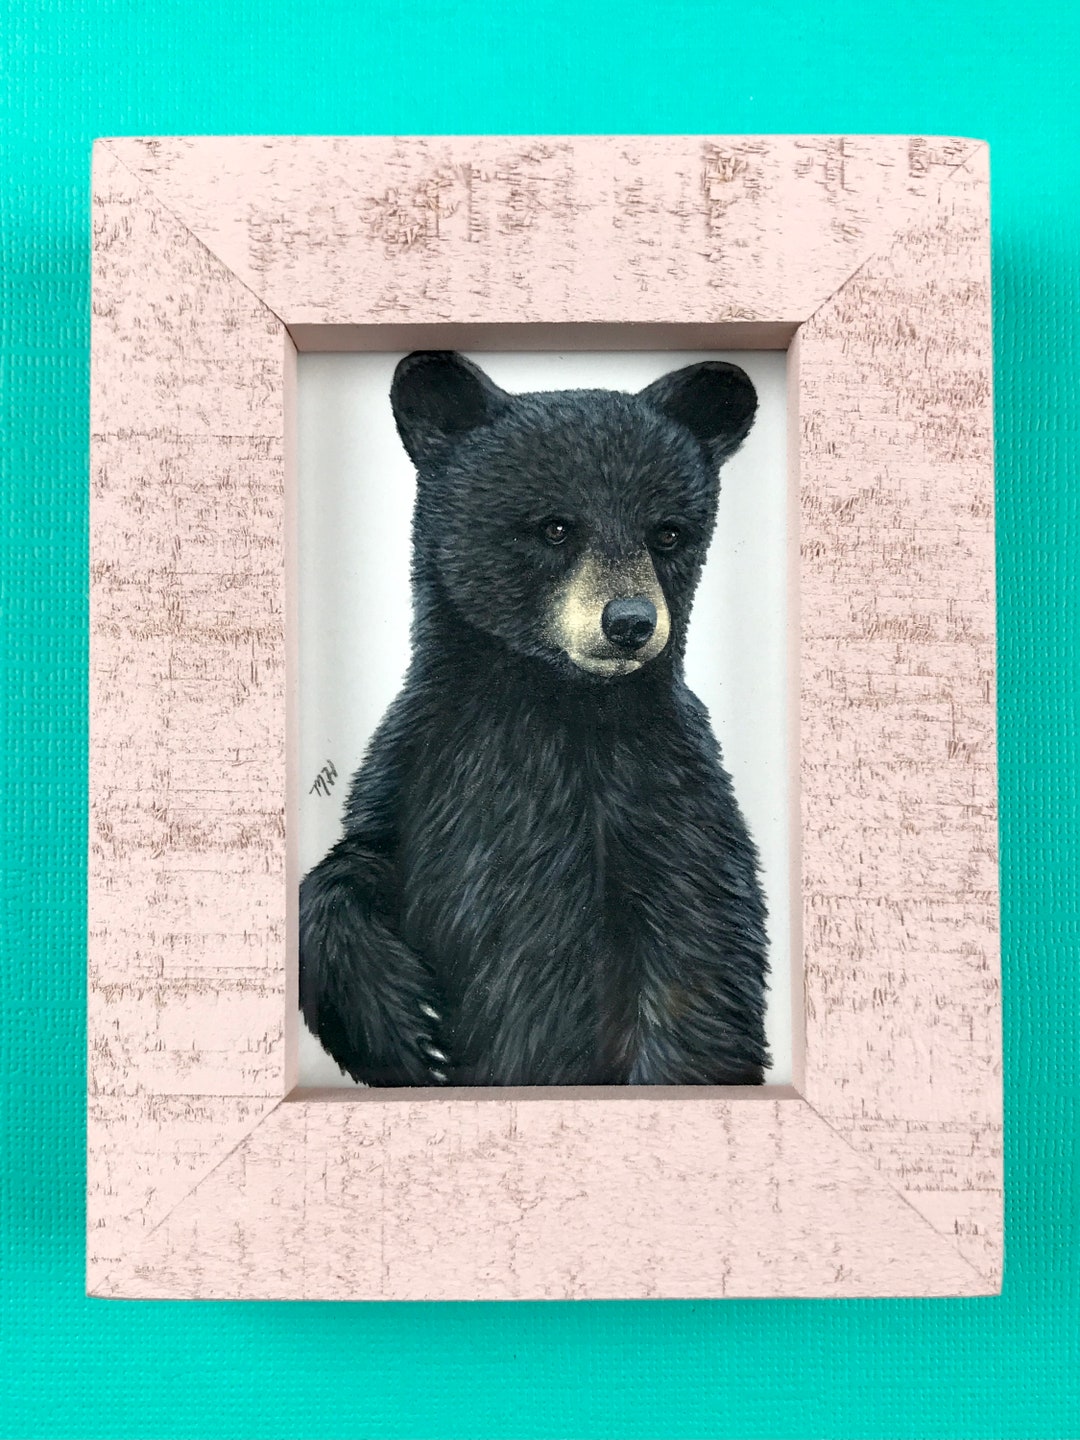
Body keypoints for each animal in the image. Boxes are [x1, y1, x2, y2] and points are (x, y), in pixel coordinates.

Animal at [299, 351, 770, 1087]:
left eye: (667, 534)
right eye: (555, 526)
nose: (630, 621)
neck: (543, 699)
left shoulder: (669, 801)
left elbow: (702, 965)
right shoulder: (416, 770)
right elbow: (350, 871)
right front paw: (411, 1029)